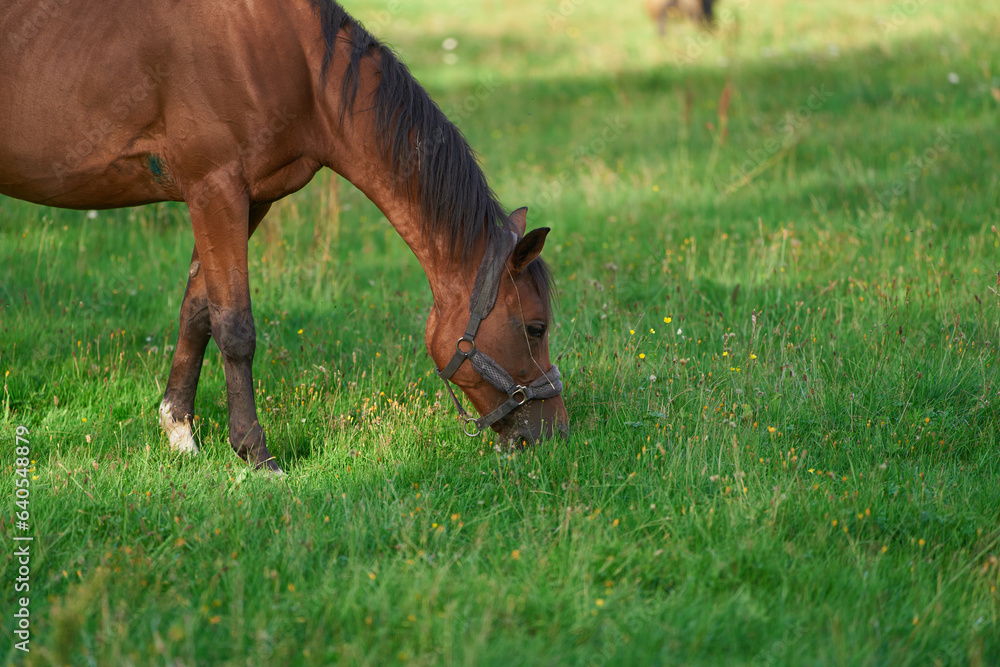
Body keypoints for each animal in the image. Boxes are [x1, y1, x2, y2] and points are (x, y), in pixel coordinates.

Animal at [0, 0, 568, 473]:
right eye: (535, 328)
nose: (557, 433)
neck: (292, 63)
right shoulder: (215, 189)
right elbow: (235, 328)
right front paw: (256, 455)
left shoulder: (250, 199)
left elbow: (198, 310)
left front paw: (180, 431)